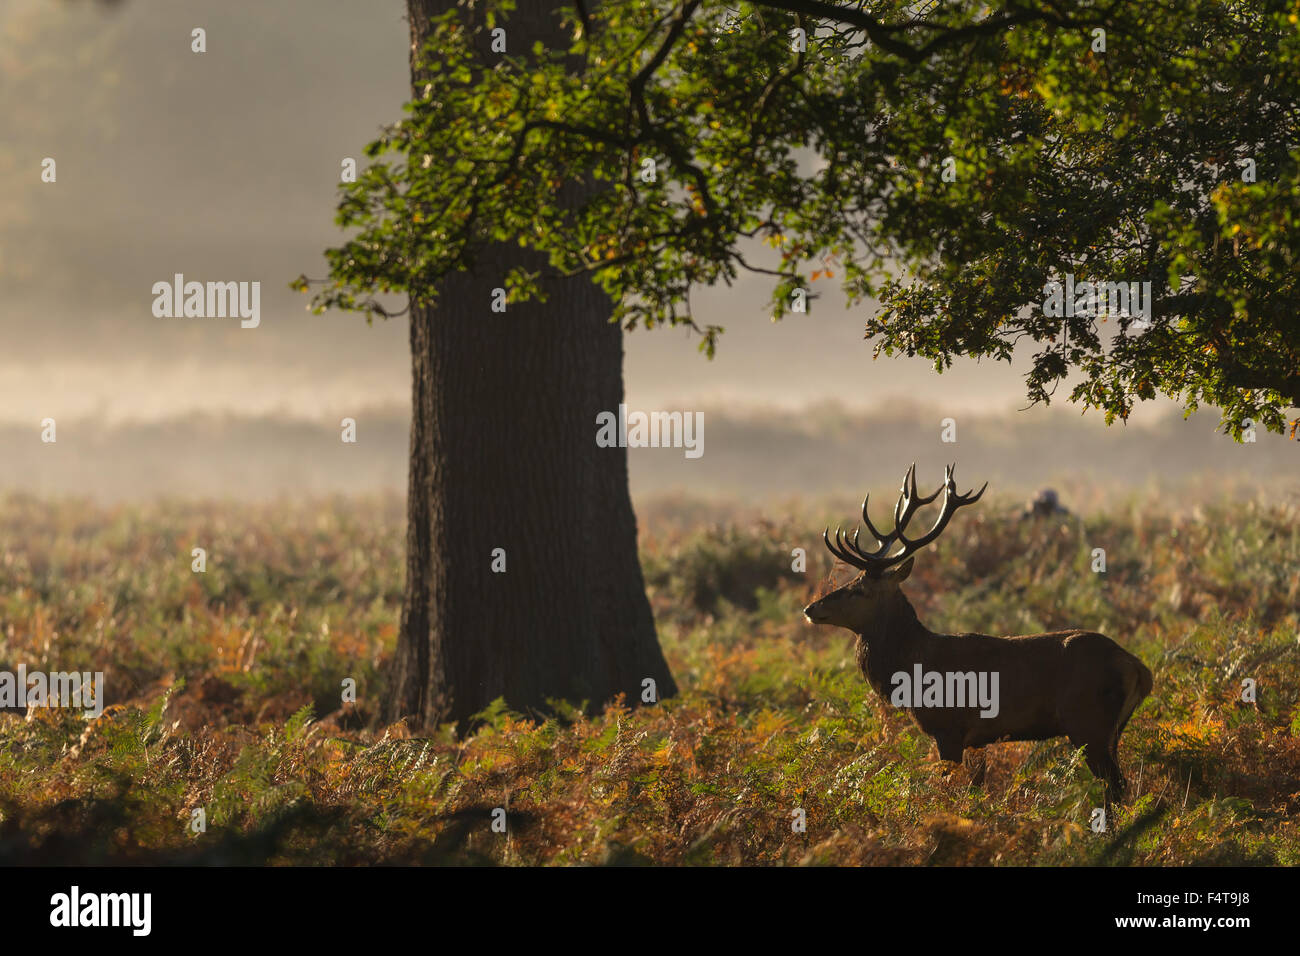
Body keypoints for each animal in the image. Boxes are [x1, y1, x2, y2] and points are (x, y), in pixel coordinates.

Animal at [802, 464, 1153, 807]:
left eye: (859, 590)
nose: (810, 608)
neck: (912, 668)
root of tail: (1138, 668)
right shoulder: (977, 740)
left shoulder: (949, 728)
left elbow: (947, 793)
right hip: (1111, 730)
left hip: (1089, 723)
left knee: (1117, 788)